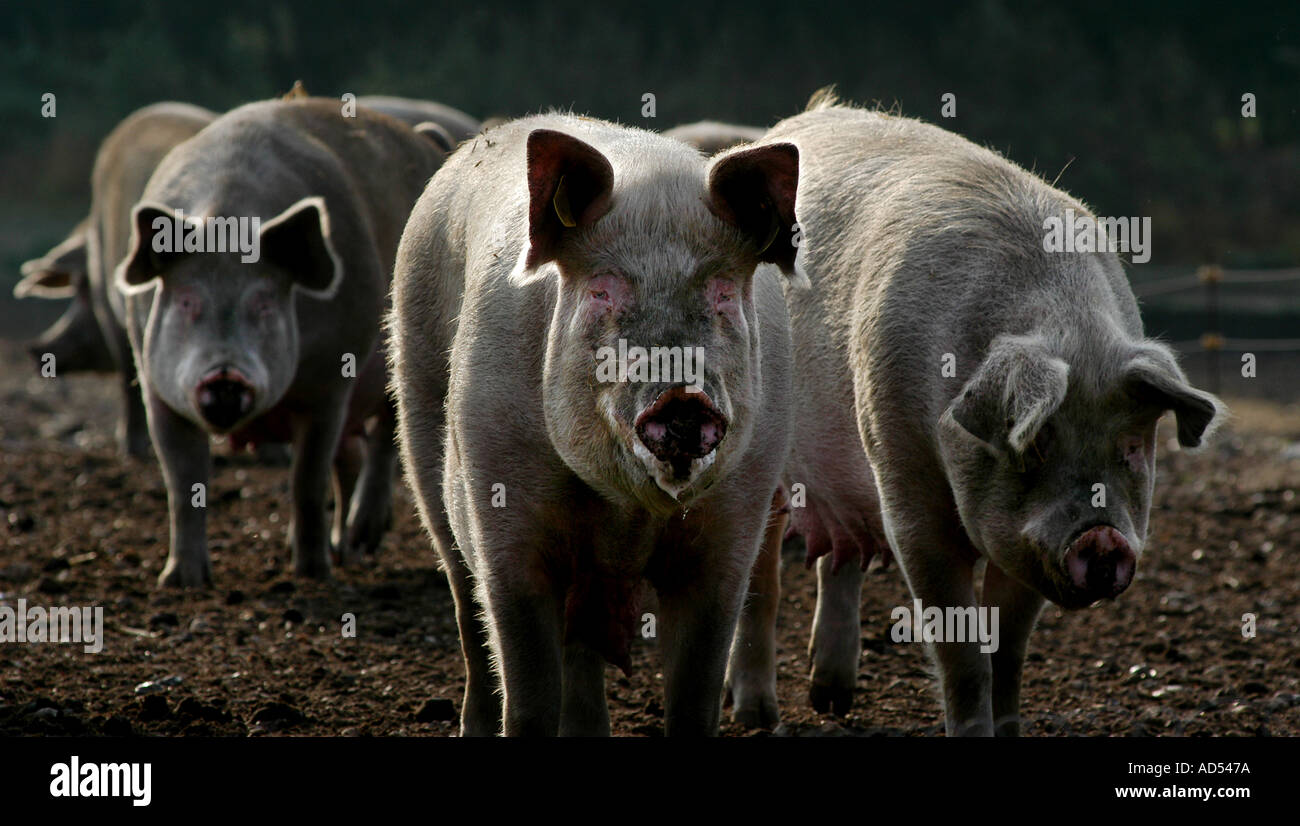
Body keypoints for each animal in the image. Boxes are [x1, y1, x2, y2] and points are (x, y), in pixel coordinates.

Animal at [114, 98, 446, 587]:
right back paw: (343, 549)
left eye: (264, 302)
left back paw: (359, 541)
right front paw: (180, 581)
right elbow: (183, 482)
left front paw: (312, 574)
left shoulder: (329, 383)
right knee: (350, 458)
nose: (225, 375)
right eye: (188, 300)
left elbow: (305, 480)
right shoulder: (156, 385)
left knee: (386, 440)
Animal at [389, 113, 804, 735]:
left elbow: (695, 695)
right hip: (416, 411)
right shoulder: (504, 516)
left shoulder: (736, 520)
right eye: (604, 289)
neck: (625, 513)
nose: (682, 396)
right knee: (465, 602)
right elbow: (528, 687)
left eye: (725, 292)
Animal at [728, 90, 1224, 735]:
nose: (1103, 539)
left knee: (838, 559)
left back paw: (832, 701)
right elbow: (961, 652)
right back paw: (759, 715)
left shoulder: (1024, 546)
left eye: (1133, 448)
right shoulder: (905, 481)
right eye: (1035, 444)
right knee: (762, 578)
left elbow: (1008, 648)